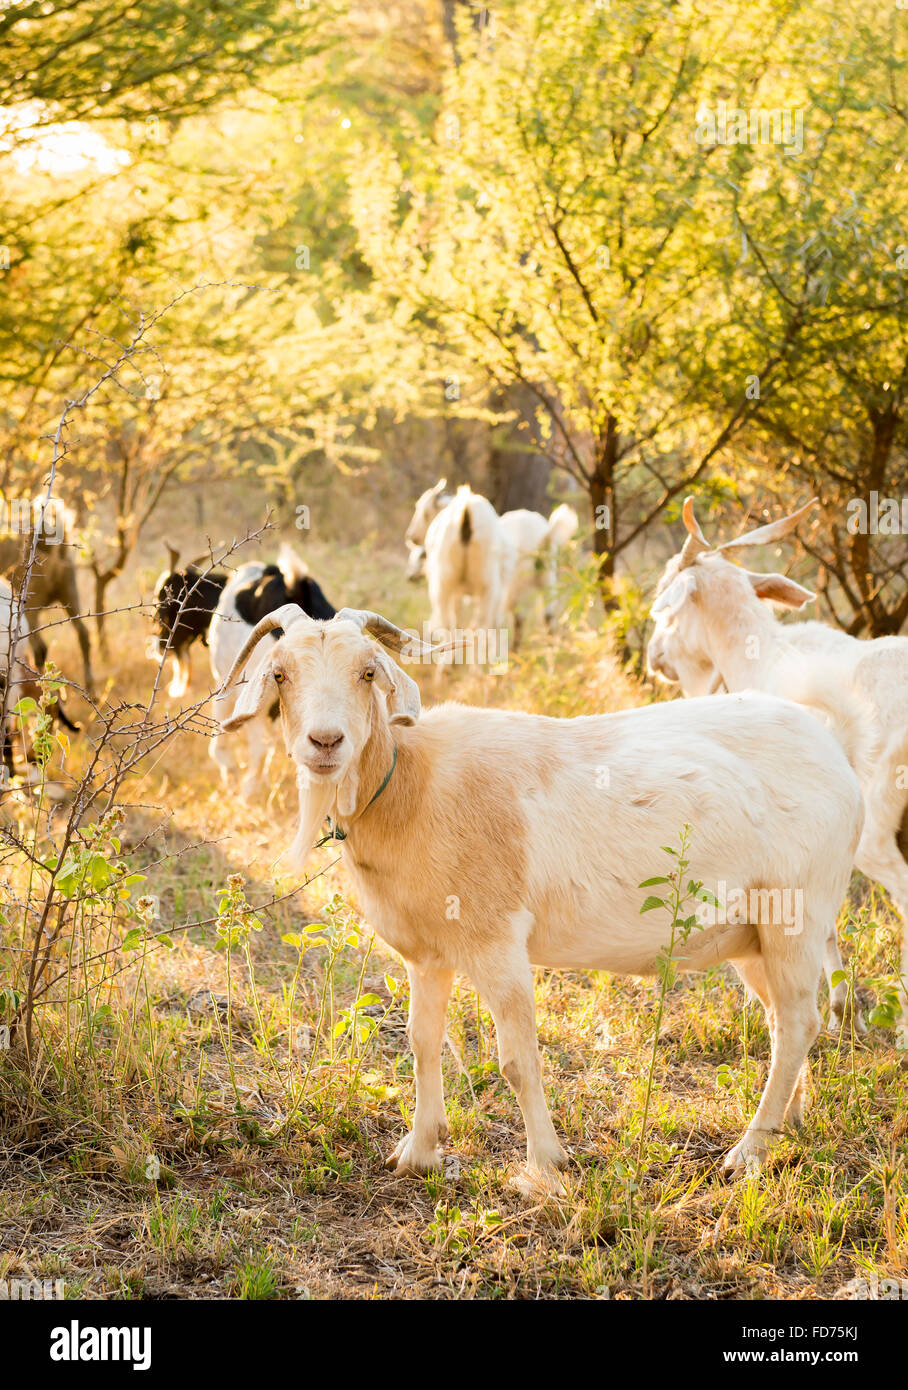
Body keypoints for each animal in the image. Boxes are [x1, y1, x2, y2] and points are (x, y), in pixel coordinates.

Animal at [219, 601, 863, 1189]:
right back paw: (788, 1124)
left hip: (796, 915)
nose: (325, 741)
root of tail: (836, 755)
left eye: (368, 672)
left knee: (799, 1022)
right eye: (281, 674)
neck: (413, 785)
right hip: (754, 937)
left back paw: (748, 1151)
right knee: (785, 1022)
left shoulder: (498, 942)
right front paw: (418, 1152)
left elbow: (518, 1061)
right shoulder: (426, 954)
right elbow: (424, 1044)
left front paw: (546, 1167)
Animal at [647, 497, 908, 1042]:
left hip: (877, 829)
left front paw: (836, 1012)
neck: (764, 654)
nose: (653, 657)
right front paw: (844, 1014)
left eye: (669, 603)